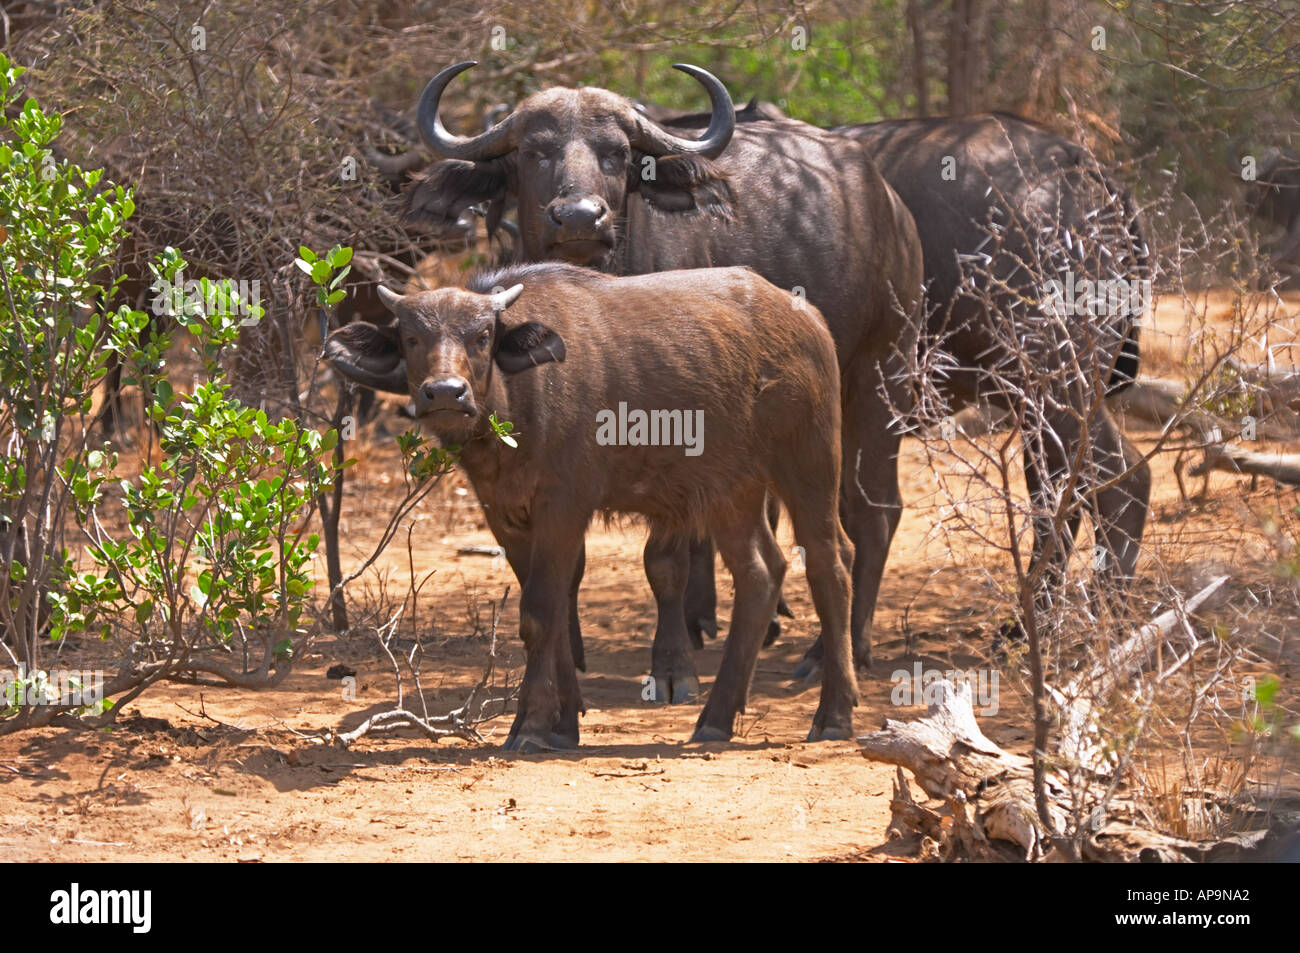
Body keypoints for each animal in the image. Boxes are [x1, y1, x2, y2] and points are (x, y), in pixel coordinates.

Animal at [322, 262, 857, 751]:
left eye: (482, 336)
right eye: (411, 337)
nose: (446, 393)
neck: (522, 398)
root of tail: (807, 317)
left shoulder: (565, 507)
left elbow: (539, 612)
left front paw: (530, 725)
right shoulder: (505, 517)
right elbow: (557, 610)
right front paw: (564, 724)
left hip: (808, 462)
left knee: (829, 565)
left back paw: (833, 715)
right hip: (733, 490)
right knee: (761, 574)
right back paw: (716, 720)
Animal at [402, 62, 924, 700]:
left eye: (618, 153)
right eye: (533, 151)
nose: (581, 217)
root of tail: (890, 204)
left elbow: (665, 558)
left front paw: (672, 667)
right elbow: (566, 560)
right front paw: (567, 659)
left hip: (881, 371)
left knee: (871, 513)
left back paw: (834, 651)